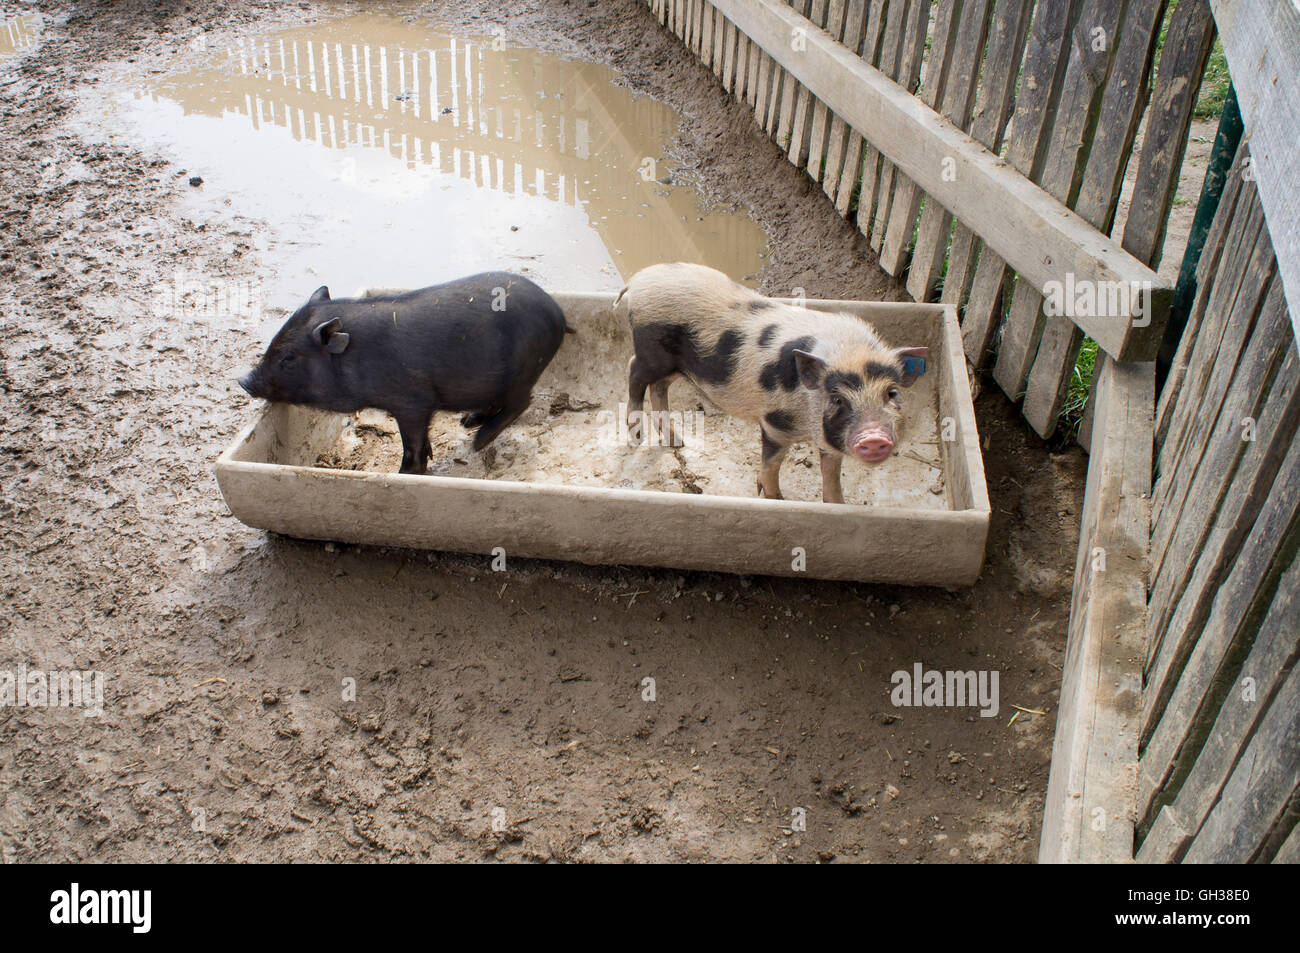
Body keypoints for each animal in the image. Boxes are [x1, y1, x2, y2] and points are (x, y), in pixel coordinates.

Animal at [240, 272, 568, 474]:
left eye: (288, 358)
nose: (244, 380)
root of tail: (559, 316)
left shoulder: (412, 401)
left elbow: (412, 441)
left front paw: (404, 473)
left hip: (525, 369)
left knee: (521, 403)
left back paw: (477, 441)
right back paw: (467, 421)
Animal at [616, 262, 928, 504]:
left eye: (892, 393)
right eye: (837, 398)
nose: (874, 437)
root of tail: (637, 280)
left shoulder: (826, 438)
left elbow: (831, 474)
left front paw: (838, 506)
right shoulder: (775, 424)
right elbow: (772, 465)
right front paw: (777, 499)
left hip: (676, 367)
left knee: (658, 387)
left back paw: (677, 442)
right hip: (651, 352)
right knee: (633, 372)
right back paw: (637, 435)